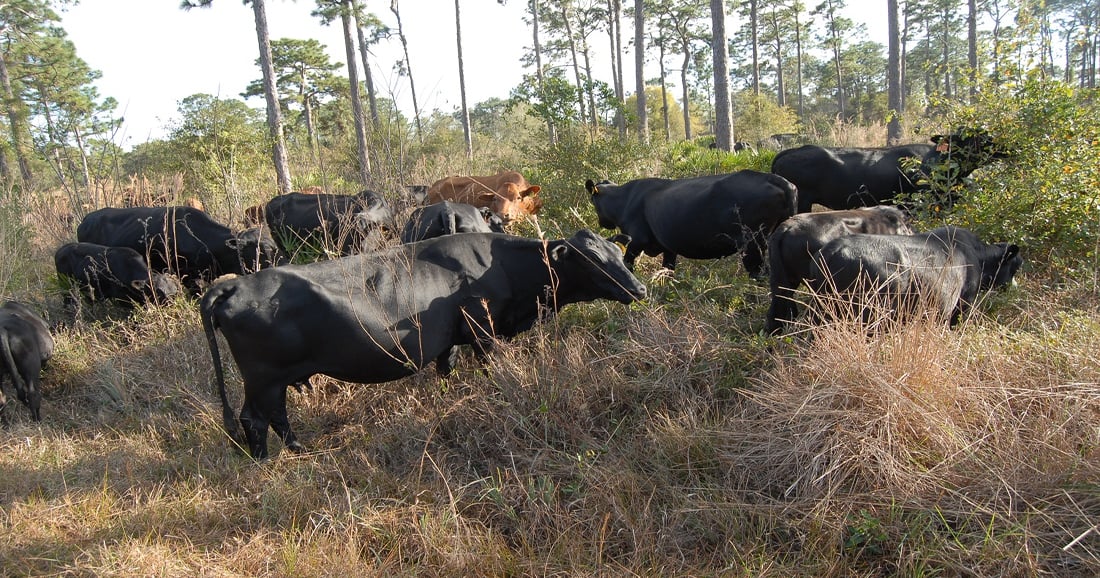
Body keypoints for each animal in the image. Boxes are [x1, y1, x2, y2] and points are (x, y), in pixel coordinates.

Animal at [54, 242, 183, 307]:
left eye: (175, 289)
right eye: (158, 292)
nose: (173, 299)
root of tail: (60, 250)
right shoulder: (122, 300)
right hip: (66, 289)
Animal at [201, 229, 647, 458]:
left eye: (618, 251)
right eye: (591, 259)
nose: (639, 288)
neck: (499, 264)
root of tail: (233, 285)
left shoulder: (447, 340)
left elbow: (445, 370)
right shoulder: (482, 330)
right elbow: (491, 369)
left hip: (270, 381)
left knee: (270, 417)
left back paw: (293, 449)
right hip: (264, 378)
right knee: (257, 419)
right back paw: (272, 459)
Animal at [585, 170, 798, 278]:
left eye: (593, 201)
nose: (602, 222)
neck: (624, 200)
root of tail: (777, 179)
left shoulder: (636, 241)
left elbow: (628, 267)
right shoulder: (668, 247)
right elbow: (667, 272)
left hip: (752, 244)